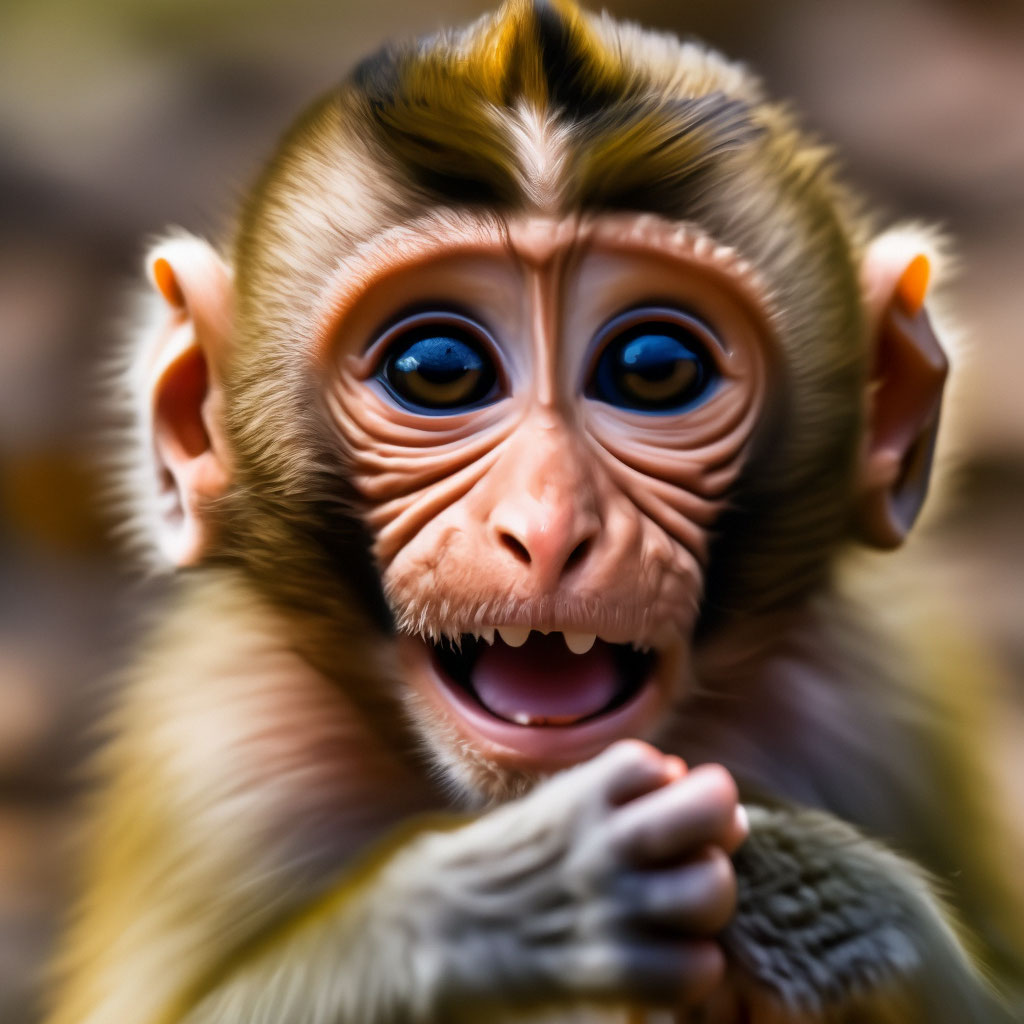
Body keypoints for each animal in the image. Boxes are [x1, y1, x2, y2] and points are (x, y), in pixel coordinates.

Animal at [45, 1, 1024, 1022]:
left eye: (654, 368)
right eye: (438, 369)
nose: (549, 529)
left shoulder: (883, 704)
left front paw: (828, 902)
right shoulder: (221, 756)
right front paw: (512, 900)